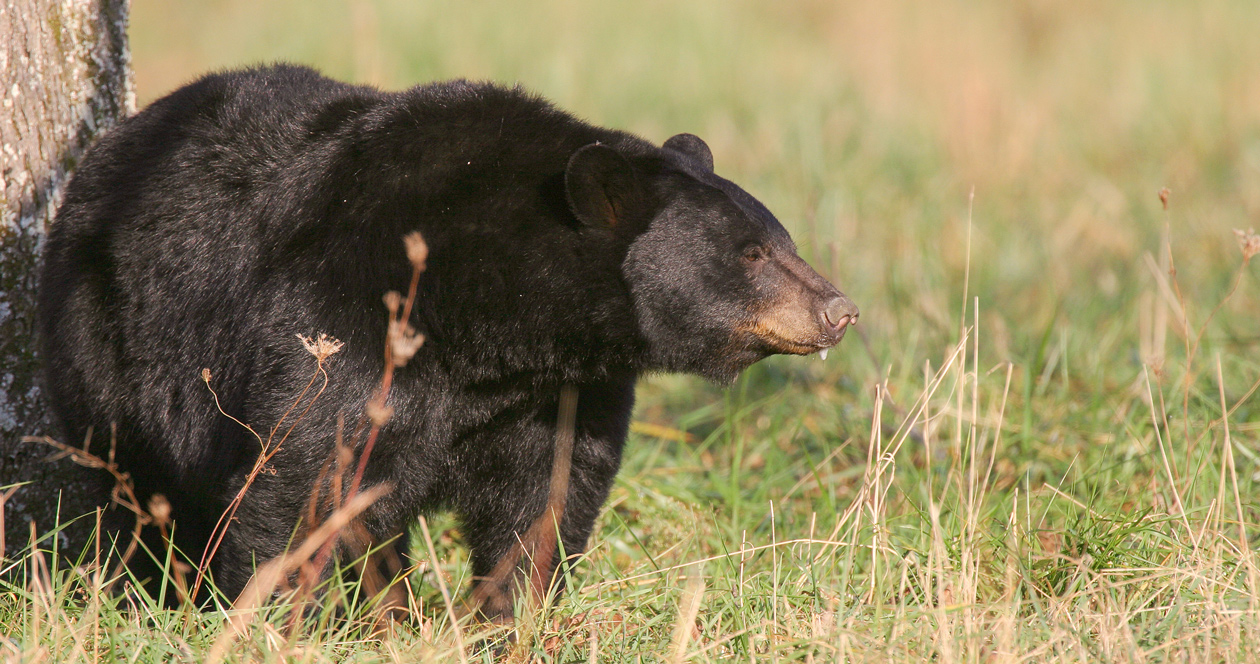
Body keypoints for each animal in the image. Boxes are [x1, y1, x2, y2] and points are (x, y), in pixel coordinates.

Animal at [38, 64, 858, 618]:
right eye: (751, 253)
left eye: (779, 238)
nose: (839, 310)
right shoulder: (341, 319)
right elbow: (300, 478)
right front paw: (272, 618)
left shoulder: (563, 388)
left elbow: (548, 495)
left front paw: (512, 615)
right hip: (110, 357)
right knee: (139, 493)